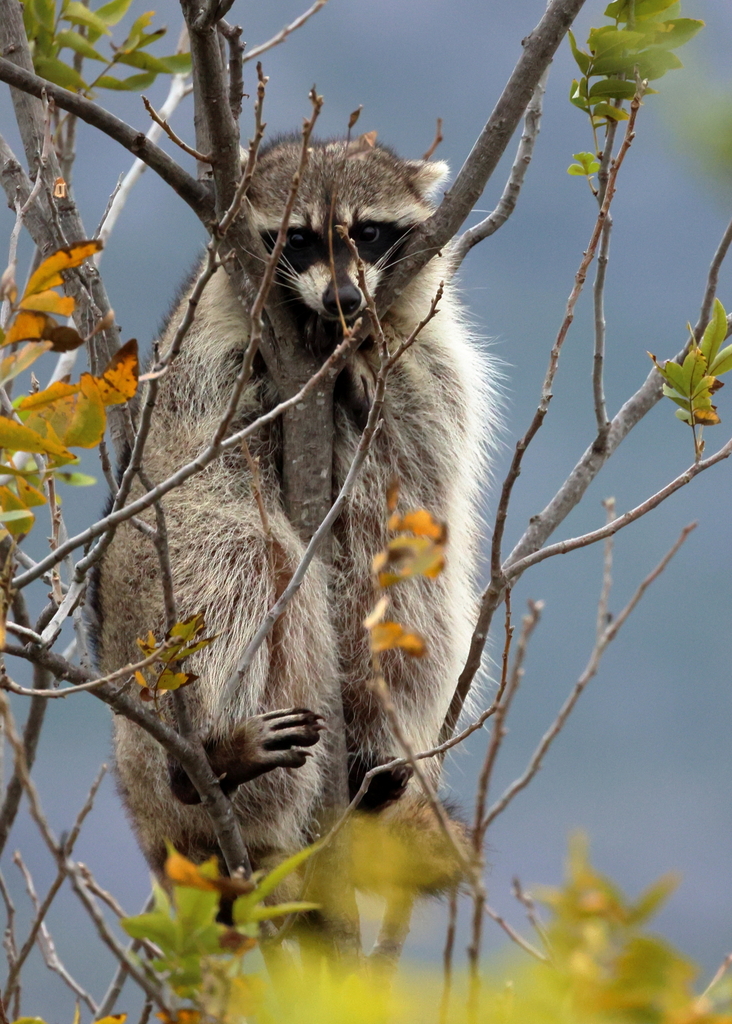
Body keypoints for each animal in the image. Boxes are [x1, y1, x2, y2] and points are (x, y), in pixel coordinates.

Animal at [92, 135, 496, 881]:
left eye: (368, 232)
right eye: (298, 238)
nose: (341, 296)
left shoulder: (427, 343)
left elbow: (423, 426)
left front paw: (367, 378)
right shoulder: (209, 348)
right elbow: (228, 414)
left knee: (413, 598)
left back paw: (372, 754)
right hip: (153, 570)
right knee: (244, 562)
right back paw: (209, 759)